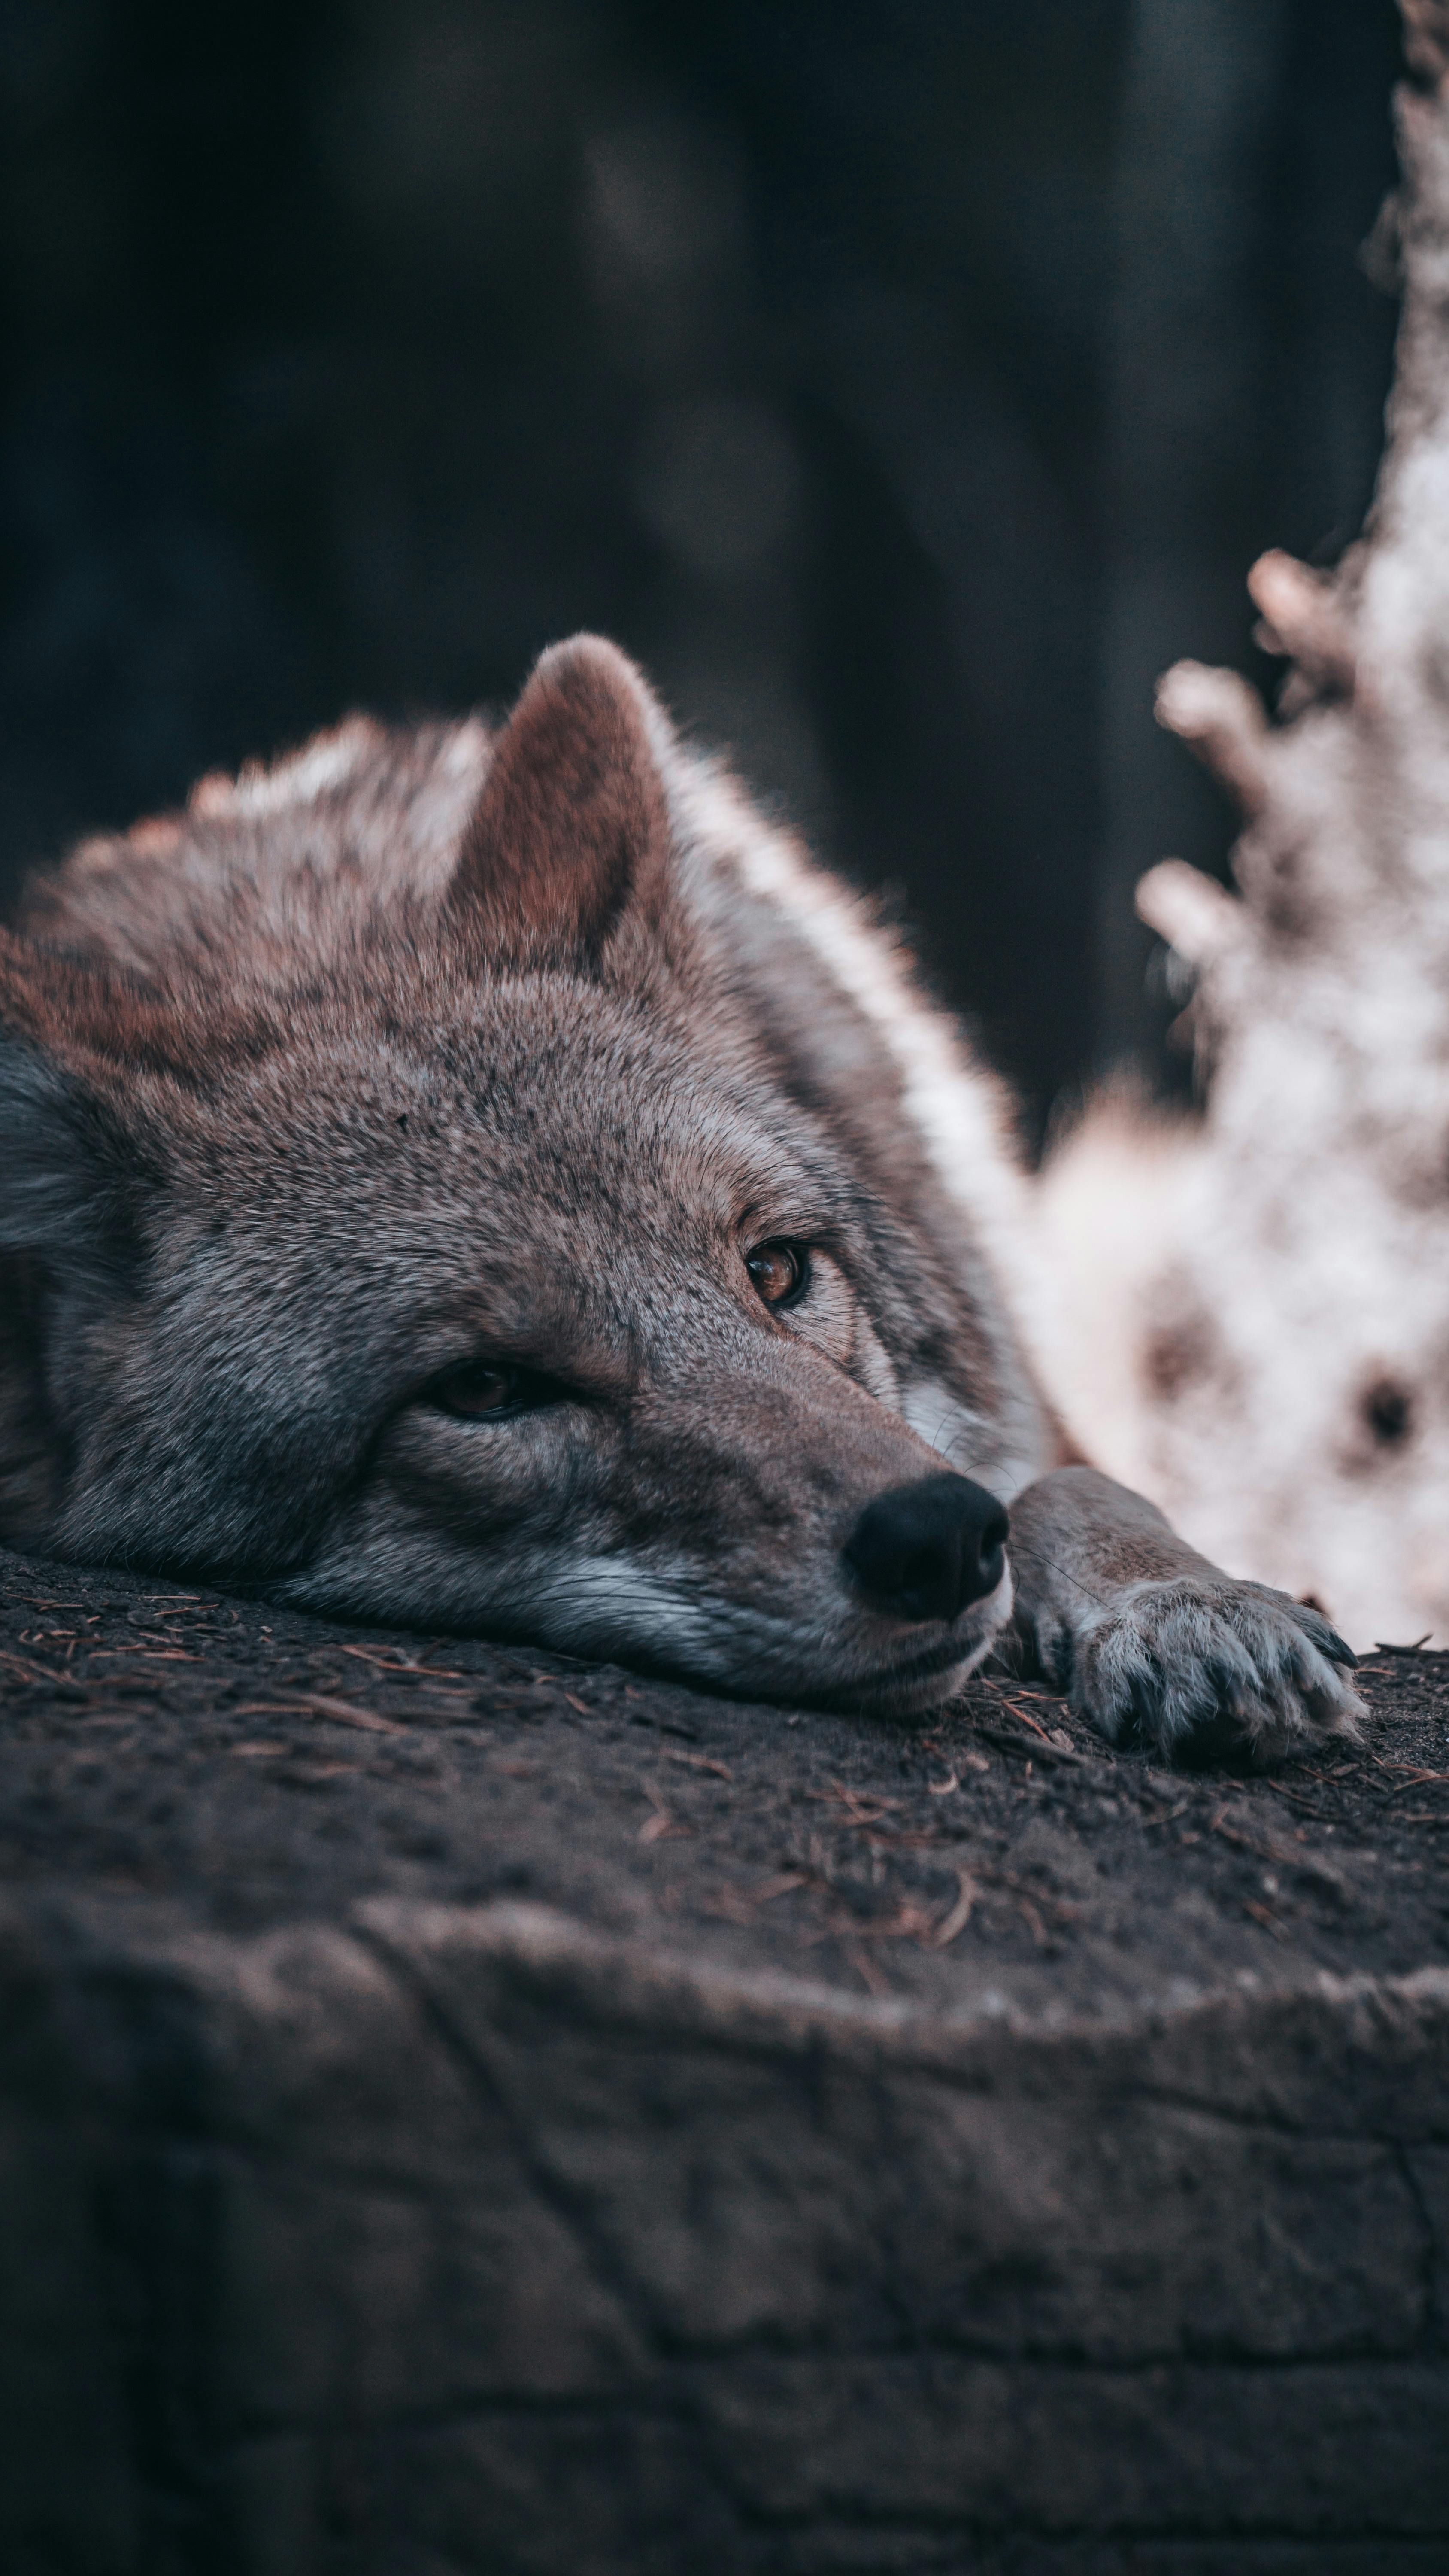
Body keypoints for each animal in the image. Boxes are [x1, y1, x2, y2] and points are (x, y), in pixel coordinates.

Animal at [0, 636, 1361, 1761]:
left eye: (777, 1270)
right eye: (483, 1390)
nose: (935, 1537)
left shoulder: (1024, 1414)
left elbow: (1072, 1485)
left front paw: (1189, 1607)